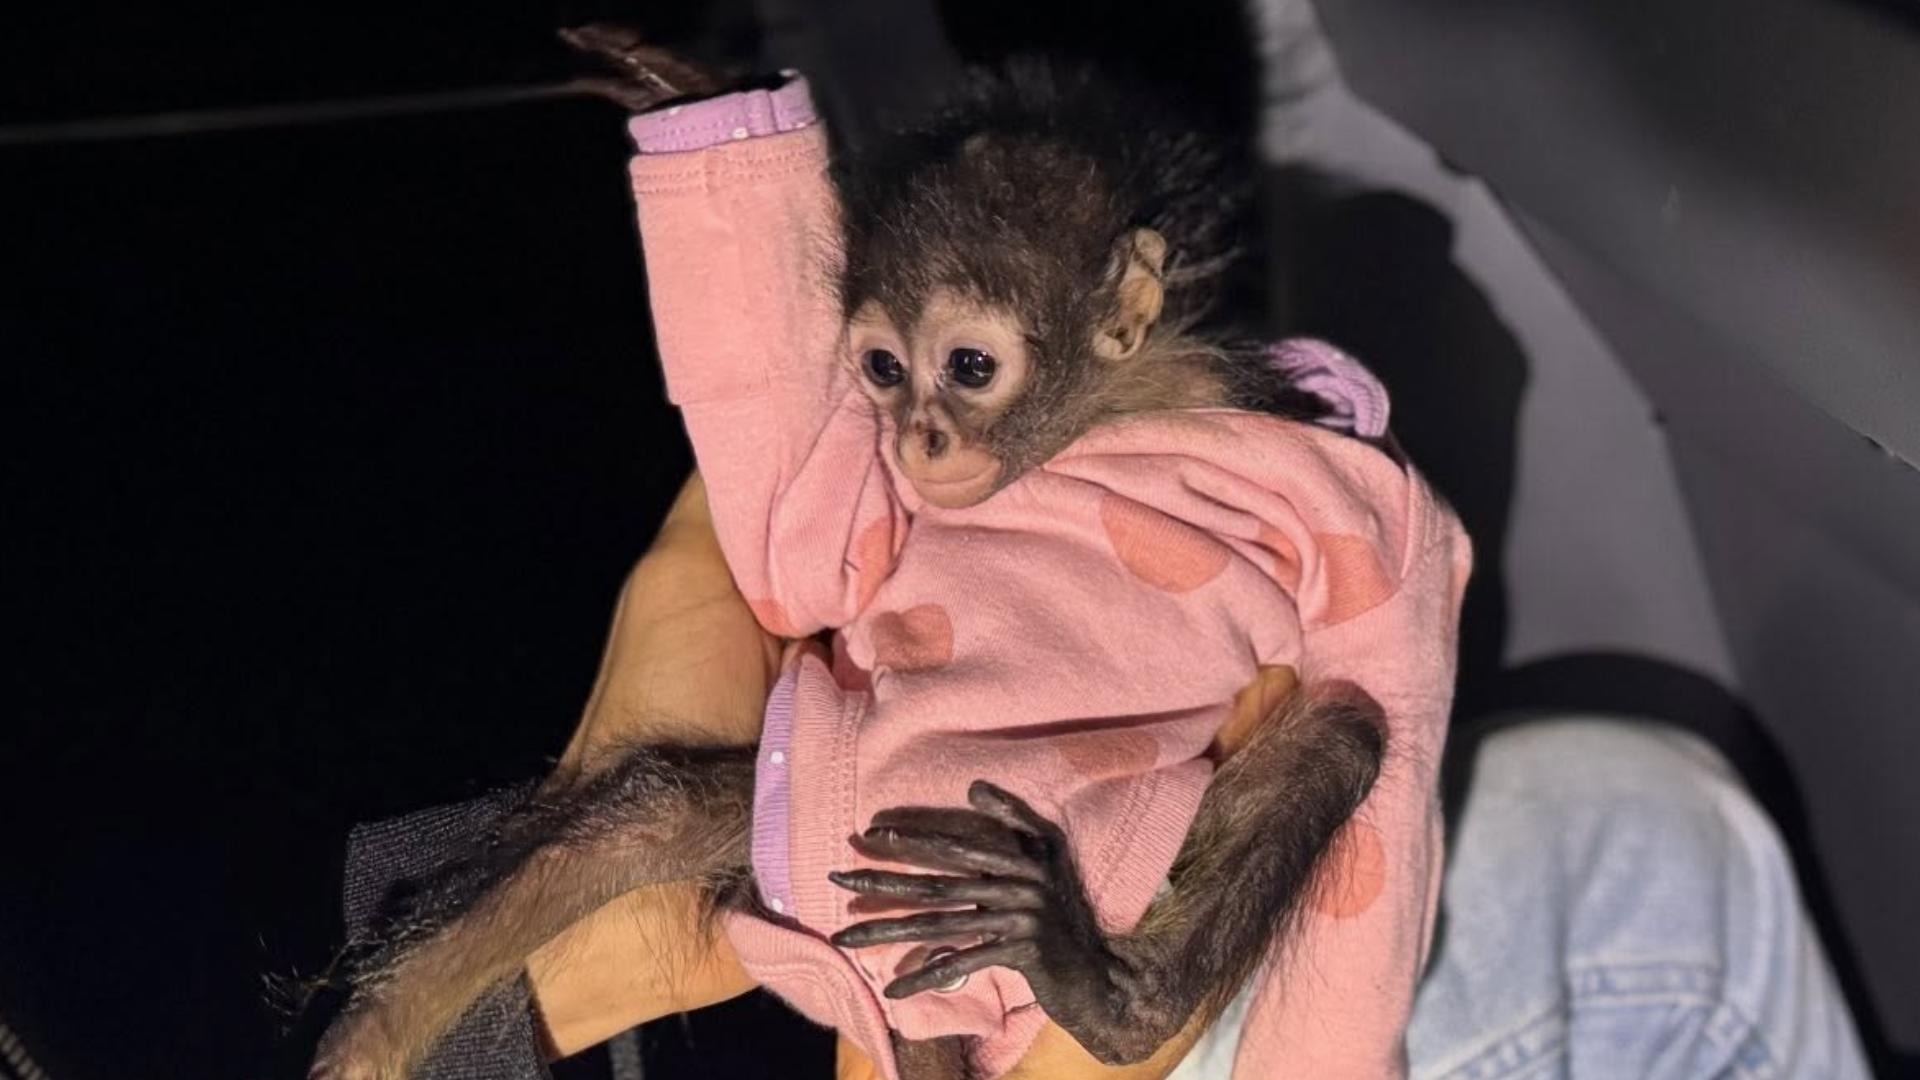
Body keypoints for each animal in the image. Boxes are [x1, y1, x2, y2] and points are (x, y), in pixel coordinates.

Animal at [312, 29, 1467, 1080]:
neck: (1096, 420)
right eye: (881, 368)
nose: (918, 439)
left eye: (969, 367)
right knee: (645, 810)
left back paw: (1107, 996)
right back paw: (371, 1043)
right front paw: (689, 92)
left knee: (1347, 736)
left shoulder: (1334, 479)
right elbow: (796, 558)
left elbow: (1395, 637)